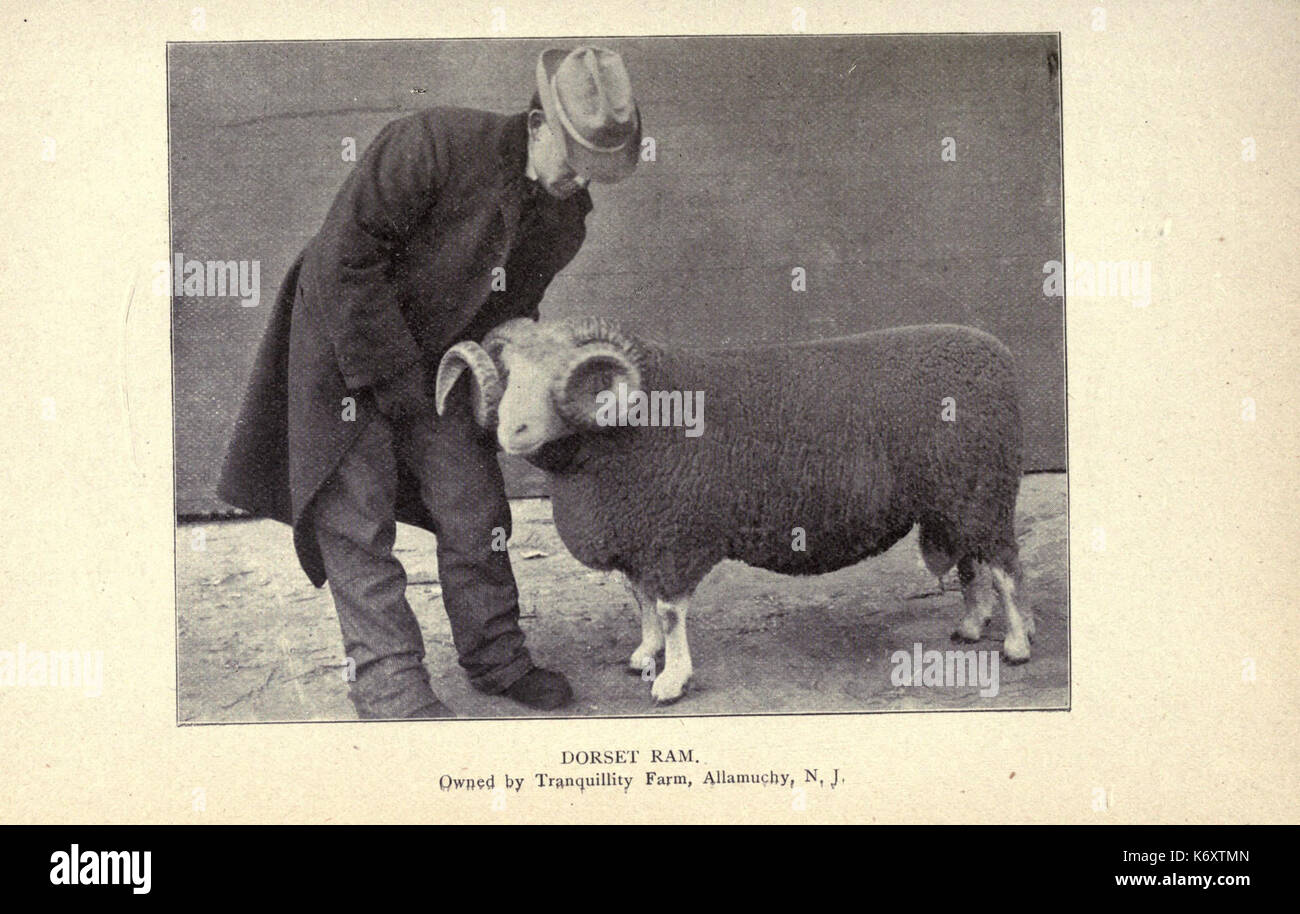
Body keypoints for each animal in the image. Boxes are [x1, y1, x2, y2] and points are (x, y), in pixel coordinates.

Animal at [435, 317, 1030, 703]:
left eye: (563, 374)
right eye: (509, 370)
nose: (512, 431)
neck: (628, 430)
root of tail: (996, 351)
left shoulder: (674, 536)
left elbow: (669, 610)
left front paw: (672, 680)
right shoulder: (638, 537)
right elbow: (640, 600)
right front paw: (645, 654)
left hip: (984, 489)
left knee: (1003, 569)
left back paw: (1017, 644)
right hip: (957, 497)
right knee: (972, 561)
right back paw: (972, 625)